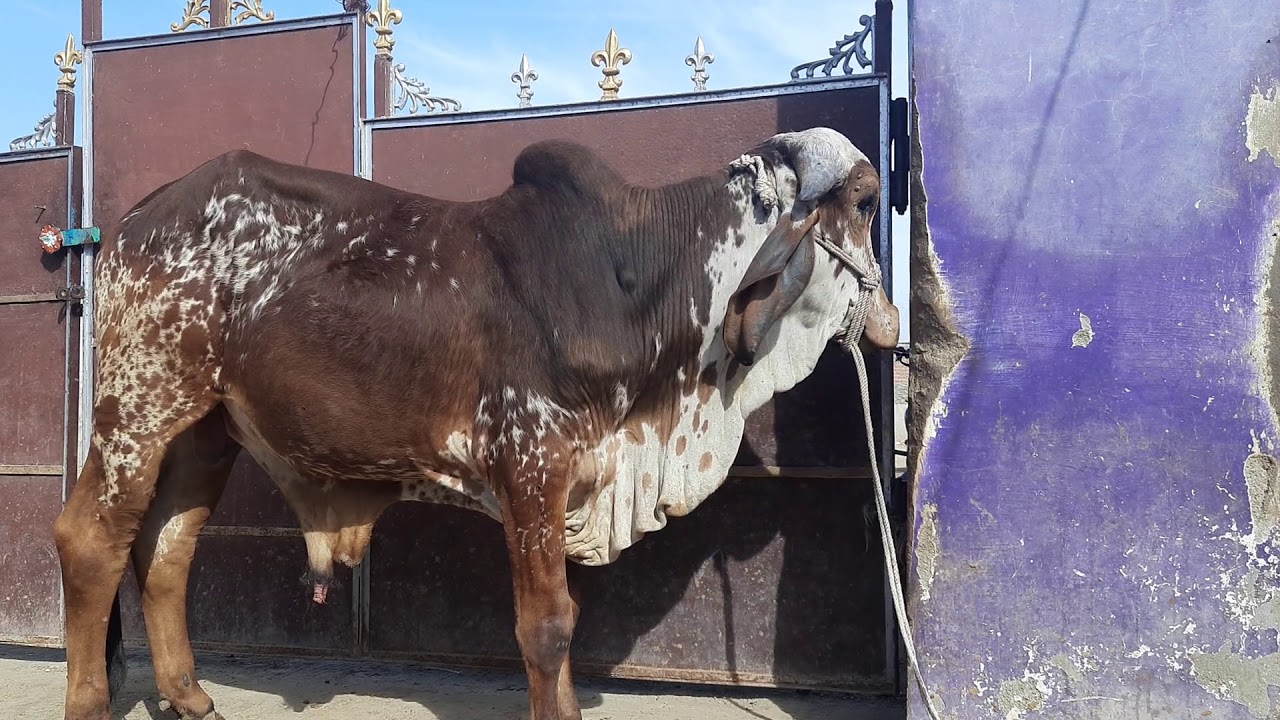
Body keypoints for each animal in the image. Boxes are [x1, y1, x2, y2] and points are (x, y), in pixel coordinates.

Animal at [53, 126, 898, 720]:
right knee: (91, 542)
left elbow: (564, 618)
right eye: (865, 203)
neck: (633, 279)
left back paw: (189, 695)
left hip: (204, 433)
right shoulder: (530, 462)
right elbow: (546, 626)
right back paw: (91, 702)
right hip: (137, 408)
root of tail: (135, 219)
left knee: (165, 552)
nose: (892, 322)